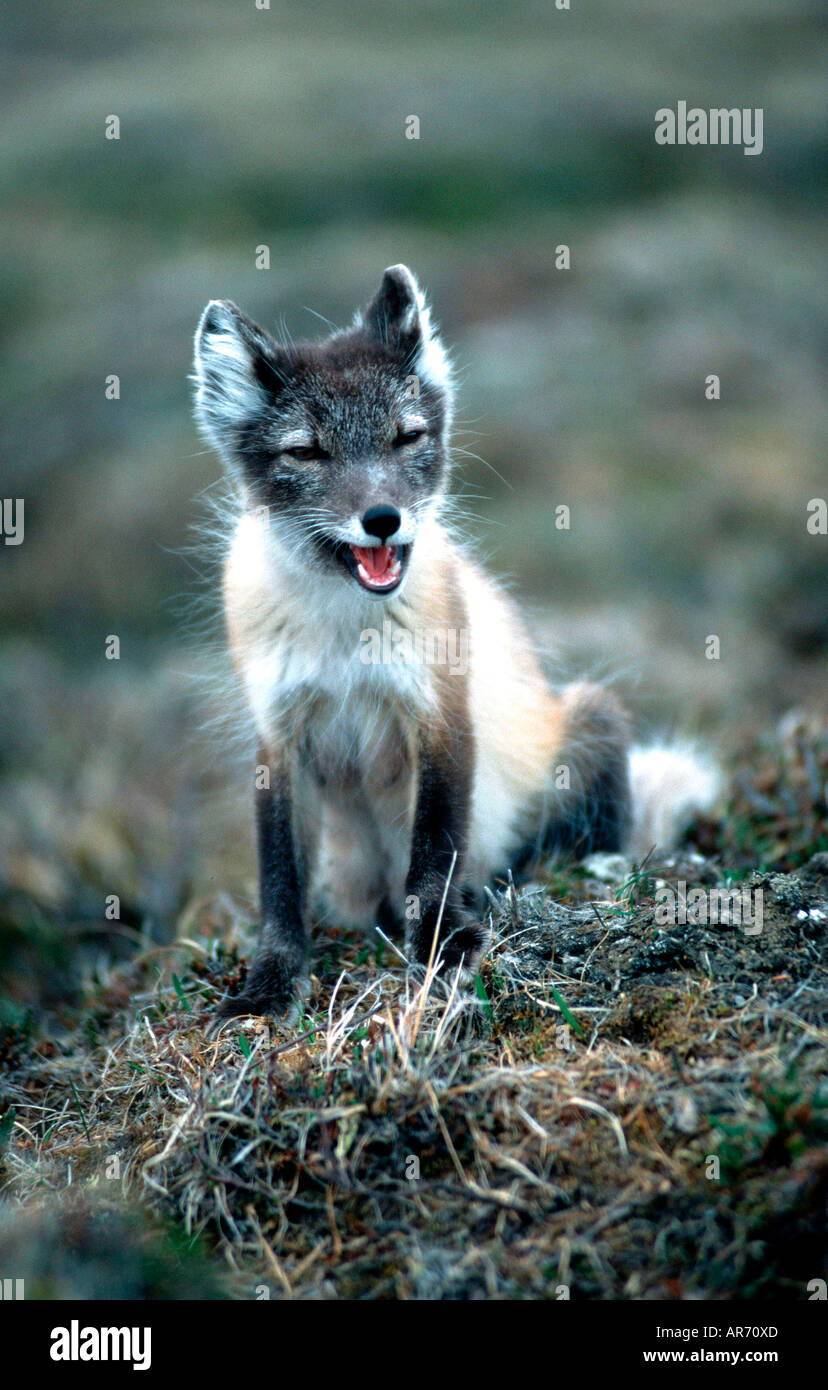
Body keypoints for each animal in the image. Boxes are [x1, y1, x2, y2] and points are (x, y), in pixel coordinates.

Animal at [192, 264, 720, 1024]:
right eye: (306, 451)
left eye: (406, 437)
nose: (382, 519)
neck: (345, 628)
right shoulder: (278, 734)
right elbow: (279, 878)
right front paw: (271, 979)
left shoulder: (440, 712)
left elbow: (434, 849)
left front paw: (443, 942)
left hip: (592, 717)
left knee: (581, 840)